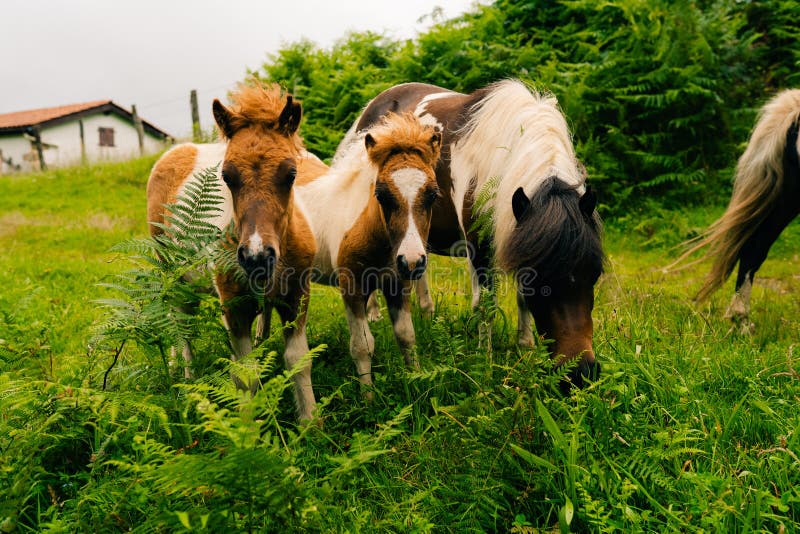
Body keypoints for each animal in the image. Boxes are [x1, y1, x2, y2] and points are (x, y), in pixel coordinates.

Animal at [146, 82, 318, 421]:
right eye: (226, 176)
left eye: (291, 174)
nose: (256, 257)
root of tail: (175, 151)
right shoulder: (233, 307)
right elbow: (245, 374)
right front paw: (249, 427)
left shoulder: (296, 298)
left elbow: (298, 360)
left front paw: (311, 423)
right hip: (174, 276)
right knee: (181, 324)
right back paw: (185, 377)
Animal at [295, 112, 441, 392]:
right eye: (381, 195)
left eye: (433, 195)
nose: (412, 261)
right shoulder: (351, 286)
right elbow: (362, 346)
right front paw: (368, 396)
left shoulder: (397, 283)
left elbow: (406, 336)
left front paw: (415, 380)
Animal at [339, 80, 604, 389]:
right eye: (543, 281)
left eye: (594, 274)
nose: (581, 373)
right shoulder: (481, 247)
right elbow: (485, 306)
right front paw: (484, 364)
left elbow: (521, 300)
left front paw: (525, 350)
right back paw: (373, 312)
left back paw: (427, 313)